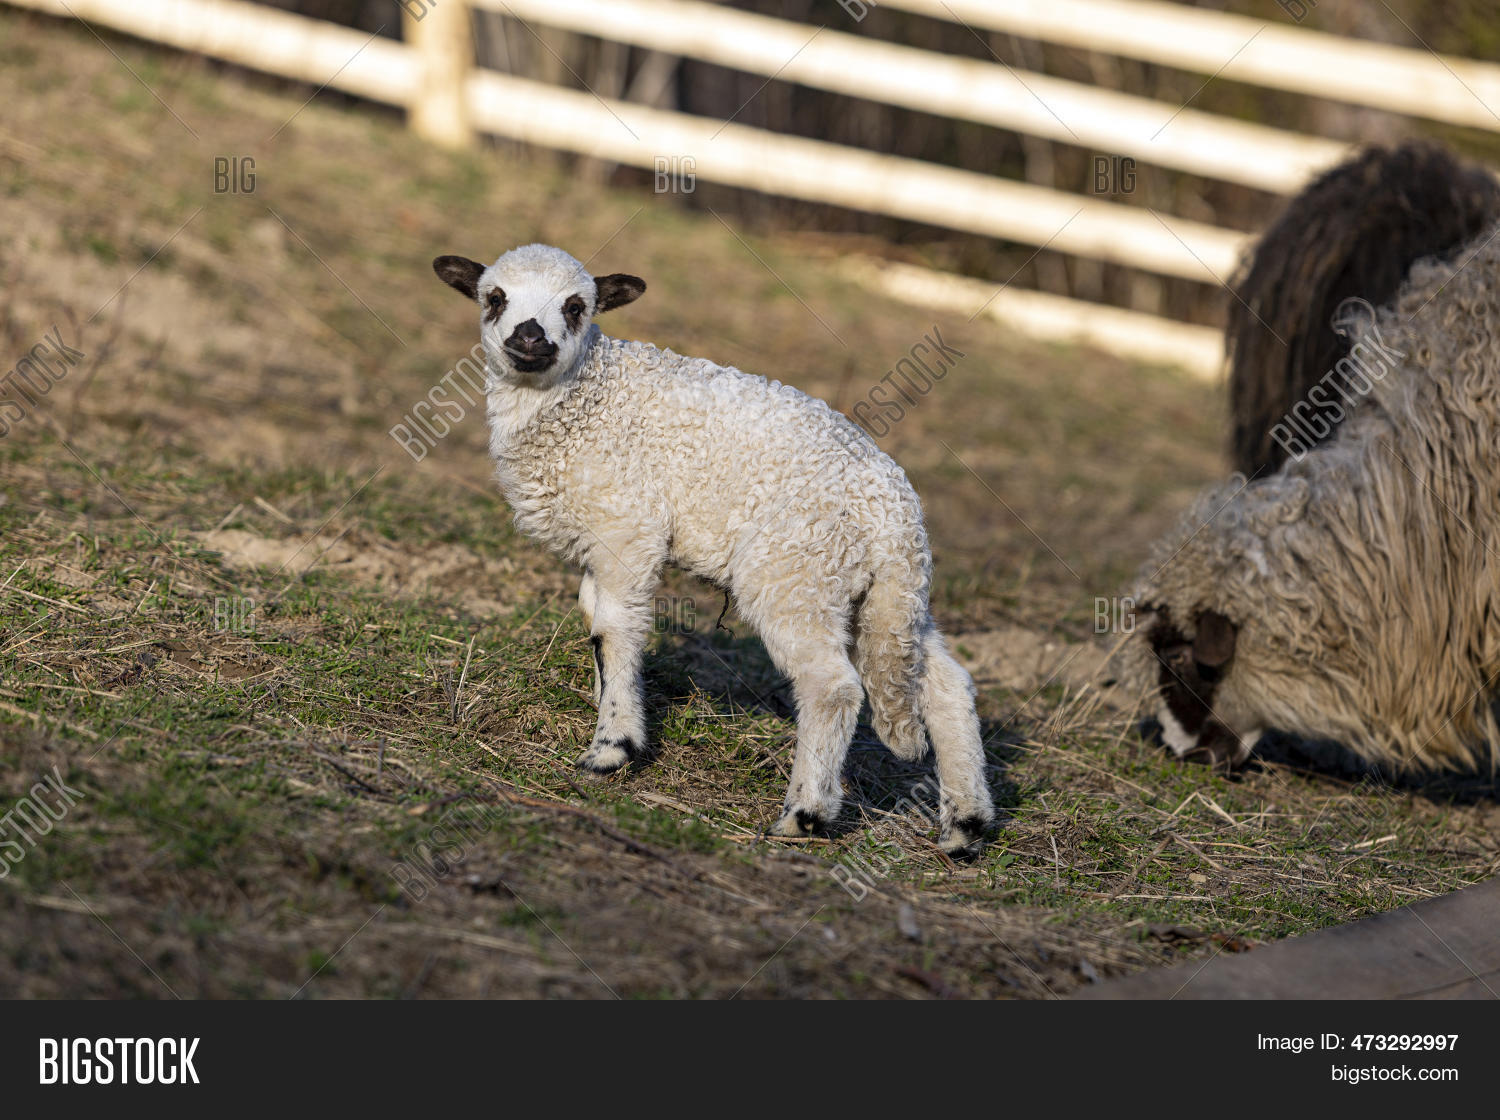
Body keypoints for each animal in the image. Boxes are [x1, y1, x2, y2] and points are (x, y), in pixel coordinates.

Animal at [431, 243, 995, 853]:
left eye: (576, 306)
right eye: (495, 298)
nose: (531, 337)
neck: (585, 396)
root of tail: (894, 511)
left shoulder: (628, 525)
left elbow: (615, 629)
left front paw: (613, 747)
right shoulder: (602, 536)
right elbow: (593, 621)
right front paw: (614, 713)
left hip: (795, 570)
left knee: (834, 688)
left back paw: (805, 816)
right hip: (885, 594)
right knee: (943, 681)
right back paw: (966, 824)